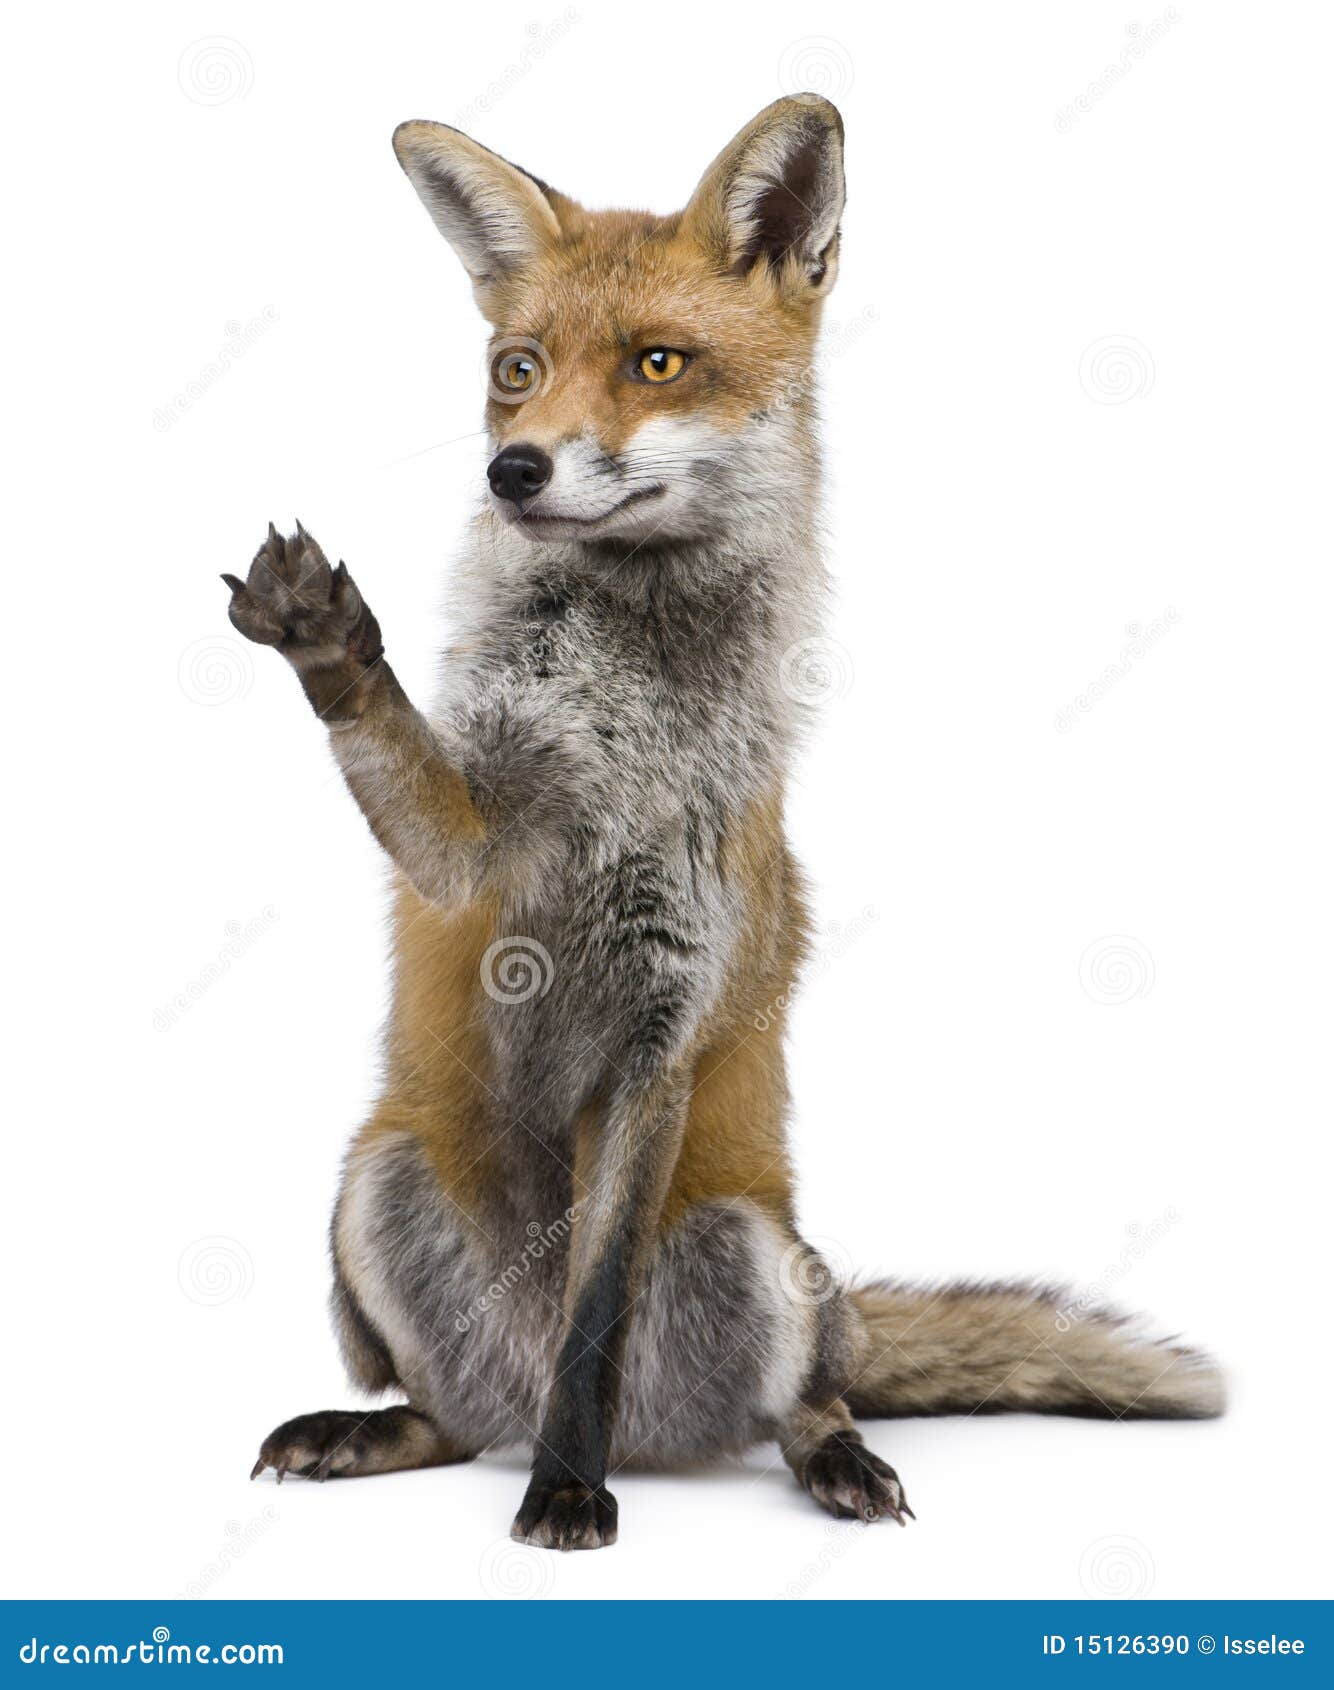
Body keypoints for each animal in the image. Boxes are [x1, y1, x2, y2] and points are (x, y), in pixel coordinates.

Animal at [224, 94, 1223, 1551]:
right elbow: (407, 762)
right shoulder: (468, 856)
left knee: (793, 1394)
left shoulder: (661, 1029)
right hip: (378, 1178)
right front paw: (329, 645)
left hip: (756, 1253)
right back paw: (385, 1429)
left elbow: (593, 1318)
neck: (620, 733)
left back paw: (822, 1457)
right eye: (517, 368)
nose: (511, 469)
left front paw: (565, 1490)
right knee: (448, 1414)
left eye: (656, 363)